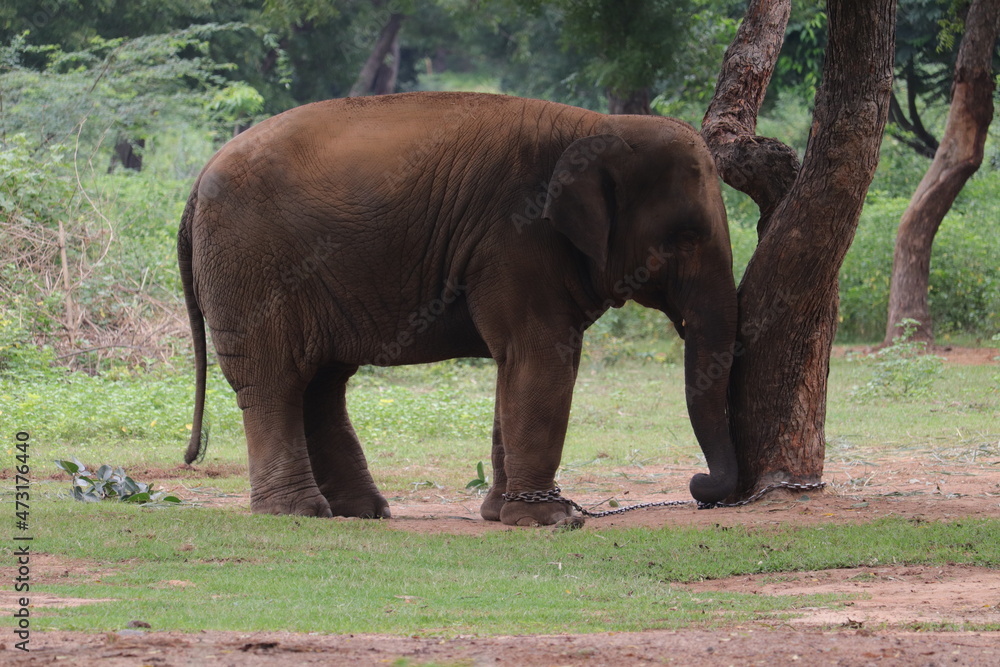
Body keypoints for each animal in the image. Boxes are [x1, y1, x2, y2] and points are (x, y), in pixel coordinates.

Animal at [178, 91, 739, 526]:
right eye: (687, 236)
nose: (700, 486)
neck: (601, 125)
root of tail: (196, 182)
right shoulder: (513, 238)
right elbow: (539, 358)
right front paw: (551, 520)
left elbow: (514, 366)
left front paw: (501, 515)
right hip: (252, 266)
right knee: (276, 379)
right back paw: (298, 513)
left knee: (321, 381)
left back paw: (362, 511)